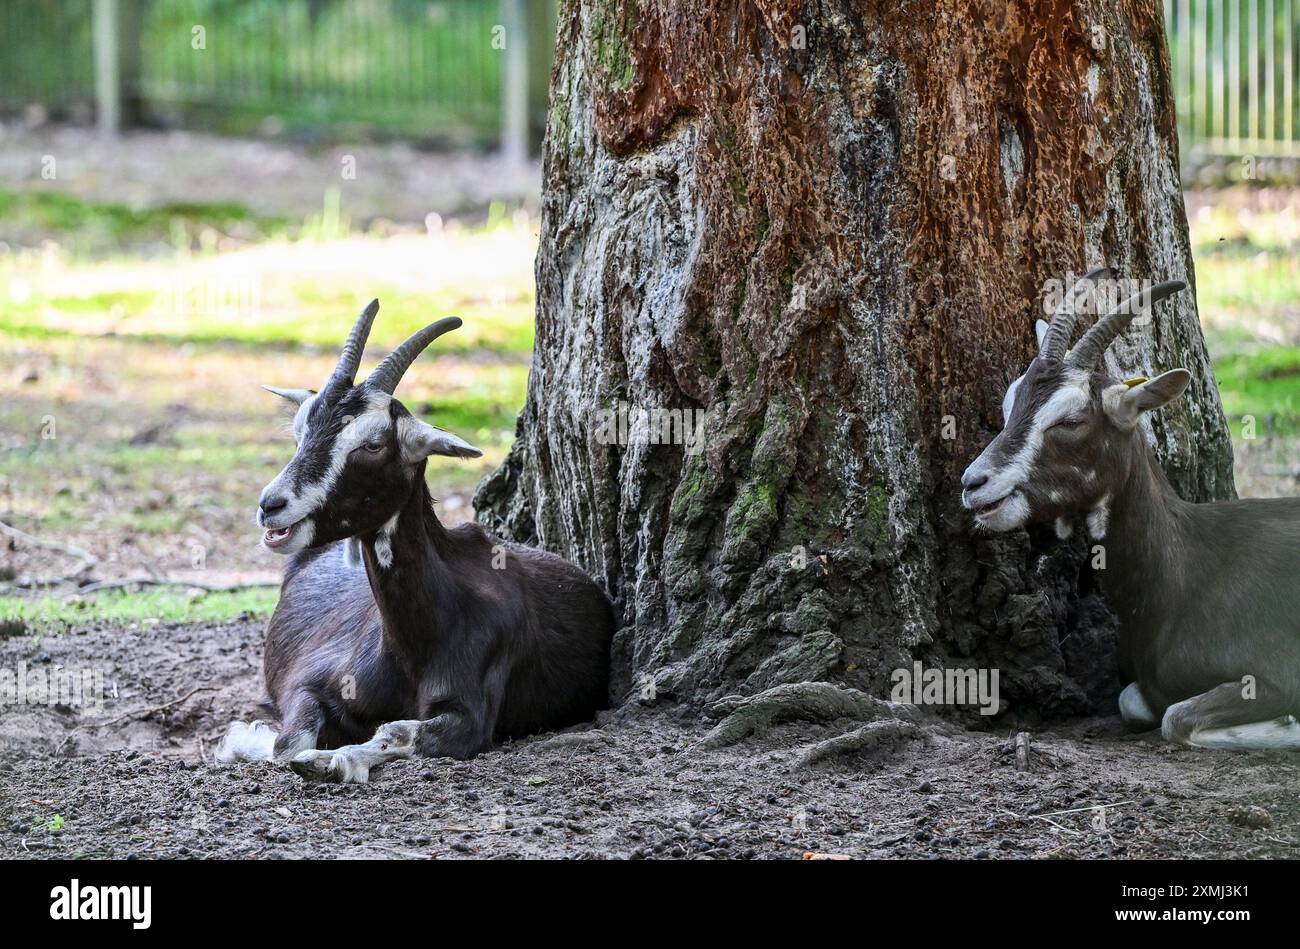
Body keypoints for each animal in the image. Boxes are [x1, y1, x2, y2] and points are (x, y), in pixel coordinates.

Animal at [216, 301, 615, 782]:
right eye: (300, 432)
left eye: (372, 444)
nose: (271, 505)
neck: (415, 643)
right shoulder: (310, 680)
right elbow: (287, 741)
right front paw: (248, 739)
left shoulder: (471, 715)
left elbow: (396, 730)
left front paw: (338, 759)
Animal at [961, 270, 1300, 750]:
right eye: (1011, 404)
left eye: (1070, 420)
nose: (974, 483)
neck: (1184, 573)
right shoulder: (1143, 690)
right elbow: (1135, 702)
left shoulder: (1275, 673)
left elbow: (1176, 718)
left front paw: (1290, 723)